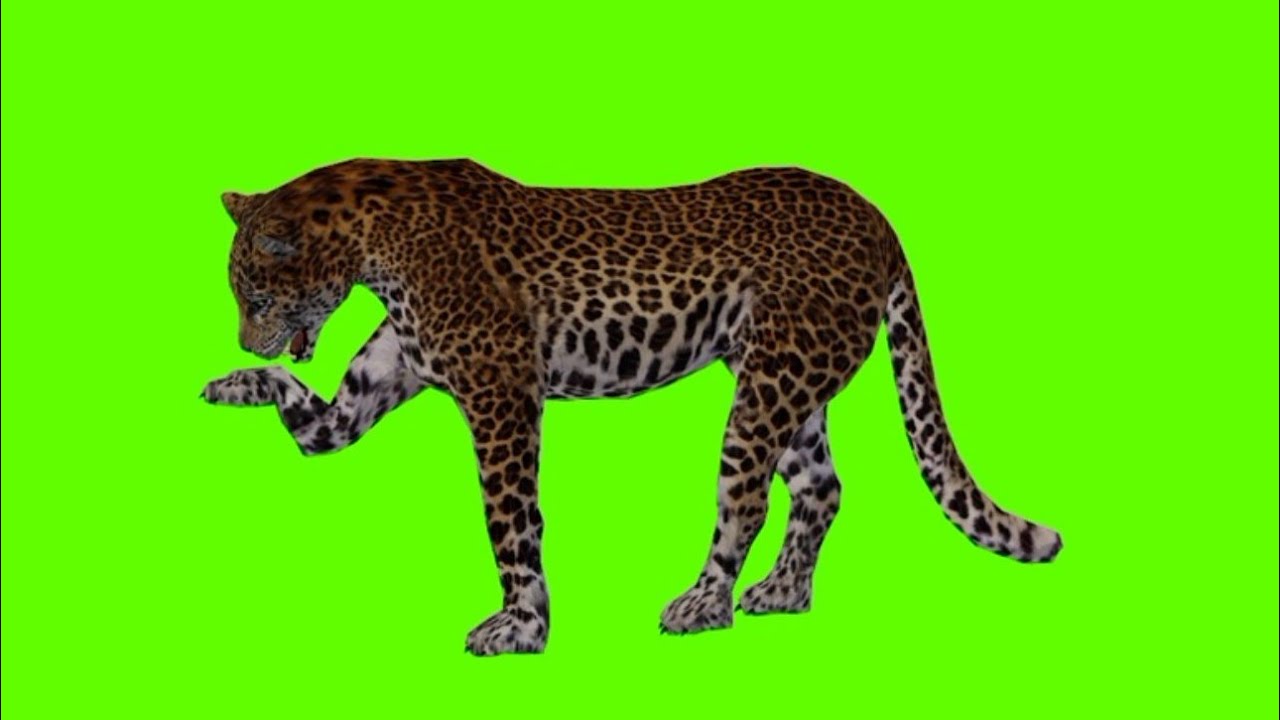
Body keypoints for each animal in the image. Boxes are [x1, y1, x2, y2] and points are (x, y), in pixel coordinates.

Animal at [201, 158, 1063, 656]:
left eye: (254, 293)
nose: (247, 335)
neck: (374, 243)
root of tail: (876, 214)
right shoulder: (368, 391)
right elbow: (305, 420)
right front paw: (228, 384)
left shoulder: (502, 395)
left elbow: (509, 520)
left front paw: (522, 626)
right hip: (786, 378)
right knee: (822, 487)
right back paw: (781, 595)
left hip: (771, 384)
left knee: (746, 499)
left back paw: (704, 604)